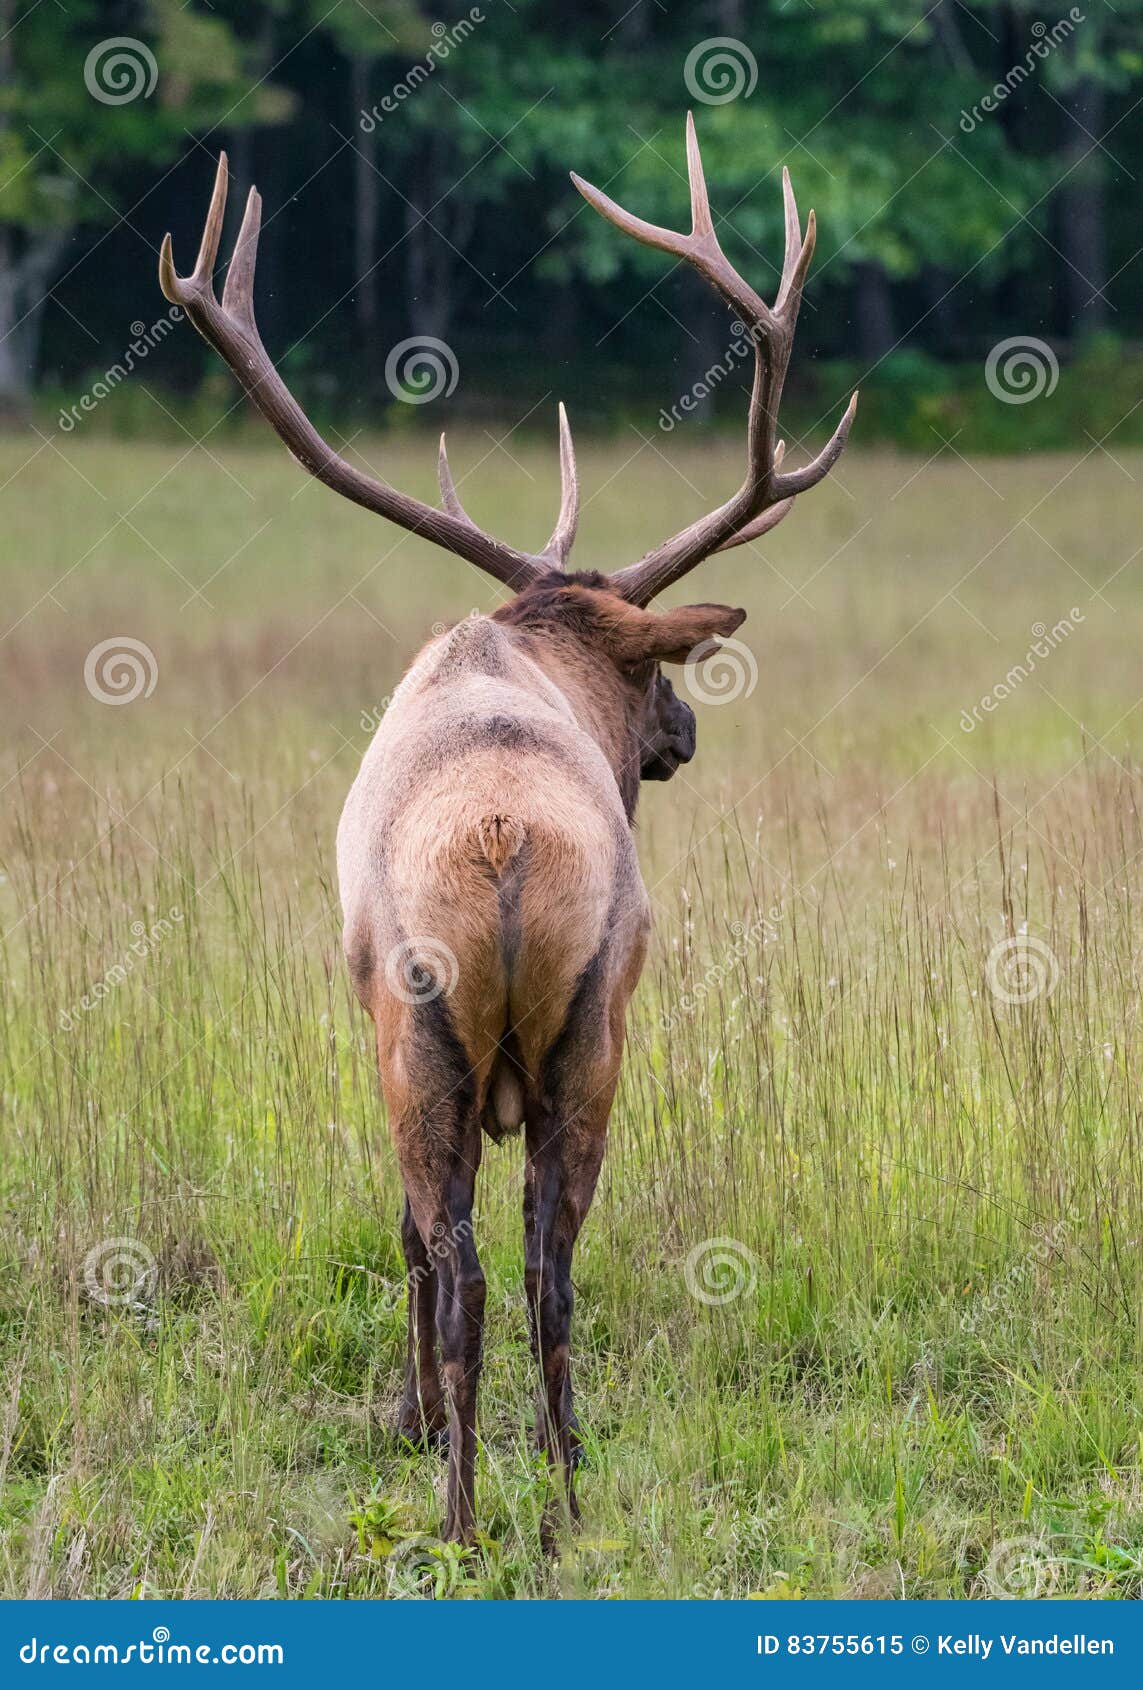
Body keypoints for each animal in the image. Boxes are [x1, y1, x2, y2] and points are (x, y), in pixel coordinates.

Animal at [159, 114, 856, 1548]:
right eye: (657, 678)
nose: (682, 733)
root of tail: (500, 842)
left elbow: (409, 1240)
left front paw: (411, 1415)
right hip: (595, 1021)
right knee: (547, 1260)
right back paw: (560, 1484)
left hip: (418, 1027)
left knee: (462, 1254)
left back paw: (462, 1502)